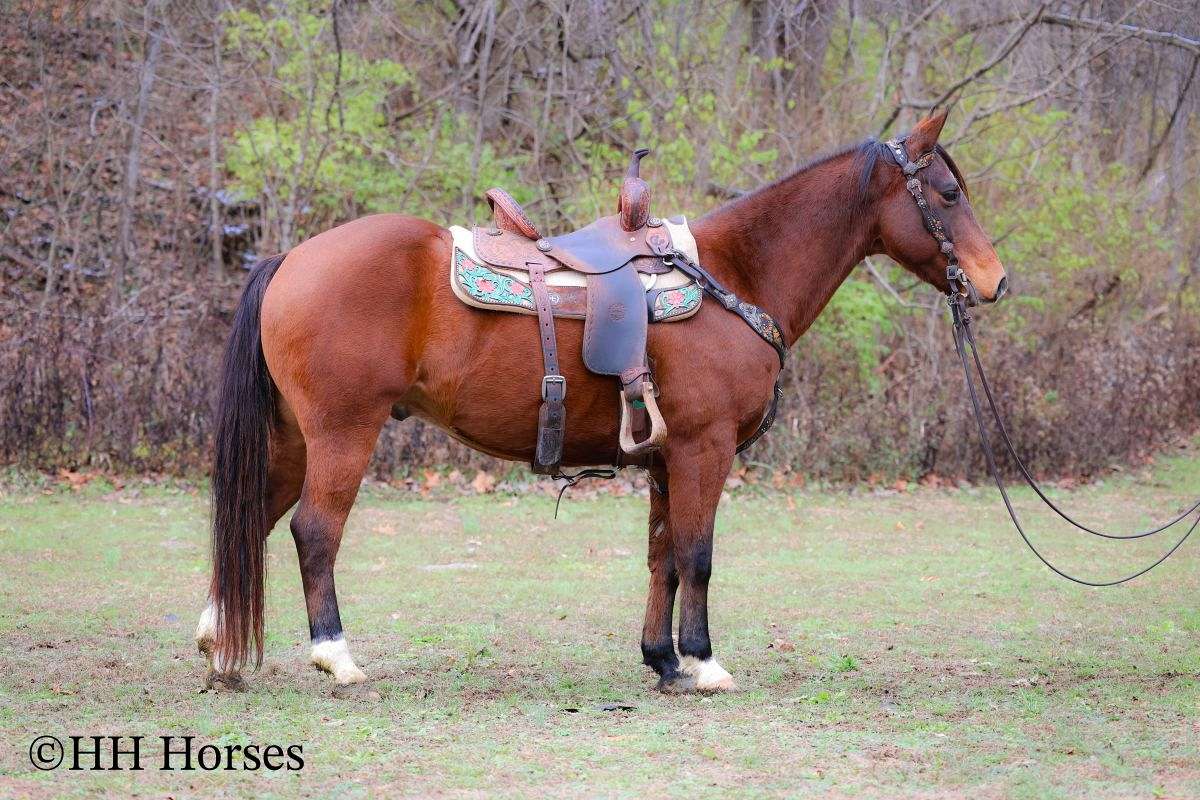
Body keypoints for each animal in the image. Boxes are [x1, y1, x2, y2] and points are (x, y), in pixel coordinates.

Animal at [195, 110, 1007, 694]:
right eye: (948, 194)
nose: (995, 281)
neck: (735, 276)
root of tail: (291, 259)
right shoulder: (705, 448)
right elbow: (698, 553)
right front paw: (703, 662)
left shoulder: (666, 459)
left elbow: (662, 558)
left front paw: (664, 661)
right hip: (342, 432)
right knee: (313, 530)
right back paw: (334, 656)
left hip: (291, 437)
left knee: (250, 518)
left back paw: (220, 645)